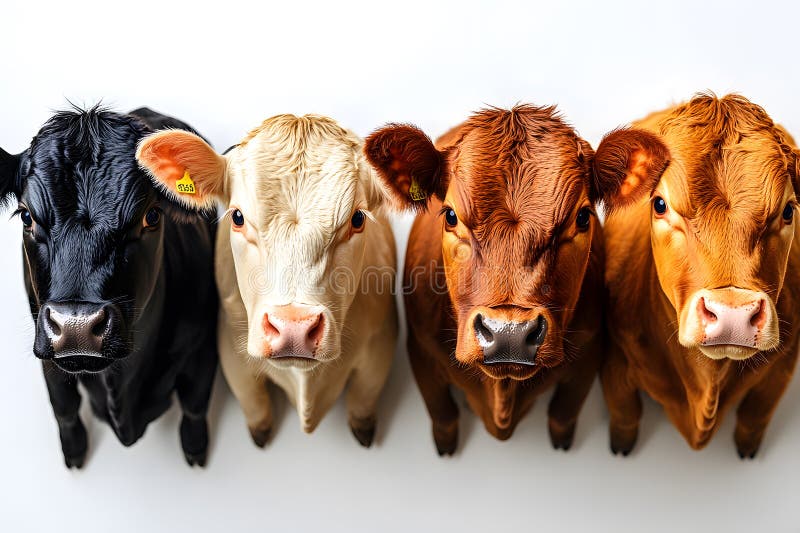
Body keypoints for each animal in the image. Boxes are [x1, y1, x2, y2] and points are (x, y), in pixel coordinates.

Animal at [0, 106, 219, 468]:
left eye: (152, 216)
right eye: (26, 216)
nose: (76, 326)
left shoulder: (203, 345)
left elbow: (194, 405)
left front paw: (195, 447)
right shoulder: (48, 358)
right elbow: (65, 407)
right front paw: (74, 450)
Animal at [136, 114, 398, 448]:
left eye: (358, 219)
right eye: (237, 216)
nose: (293, 328)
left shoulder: (381, 345)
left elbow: (364, 398)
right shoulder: (231, 352)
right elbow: (254, 403)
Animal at [363, 105, 667, 454]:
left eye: (582, 217)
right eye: (450, 215)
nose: (509, 333)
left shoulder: (590, 351)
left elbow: (564, 412)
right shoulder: (420, 348)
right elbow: (443, 413)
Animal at [601, 93, 800, 457]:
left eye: (788, 210)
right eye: (660, 204)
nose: (733, 316)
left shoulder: (783, 367)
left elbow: (755, 415)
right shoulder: (615, 358)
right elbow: (625, 412)